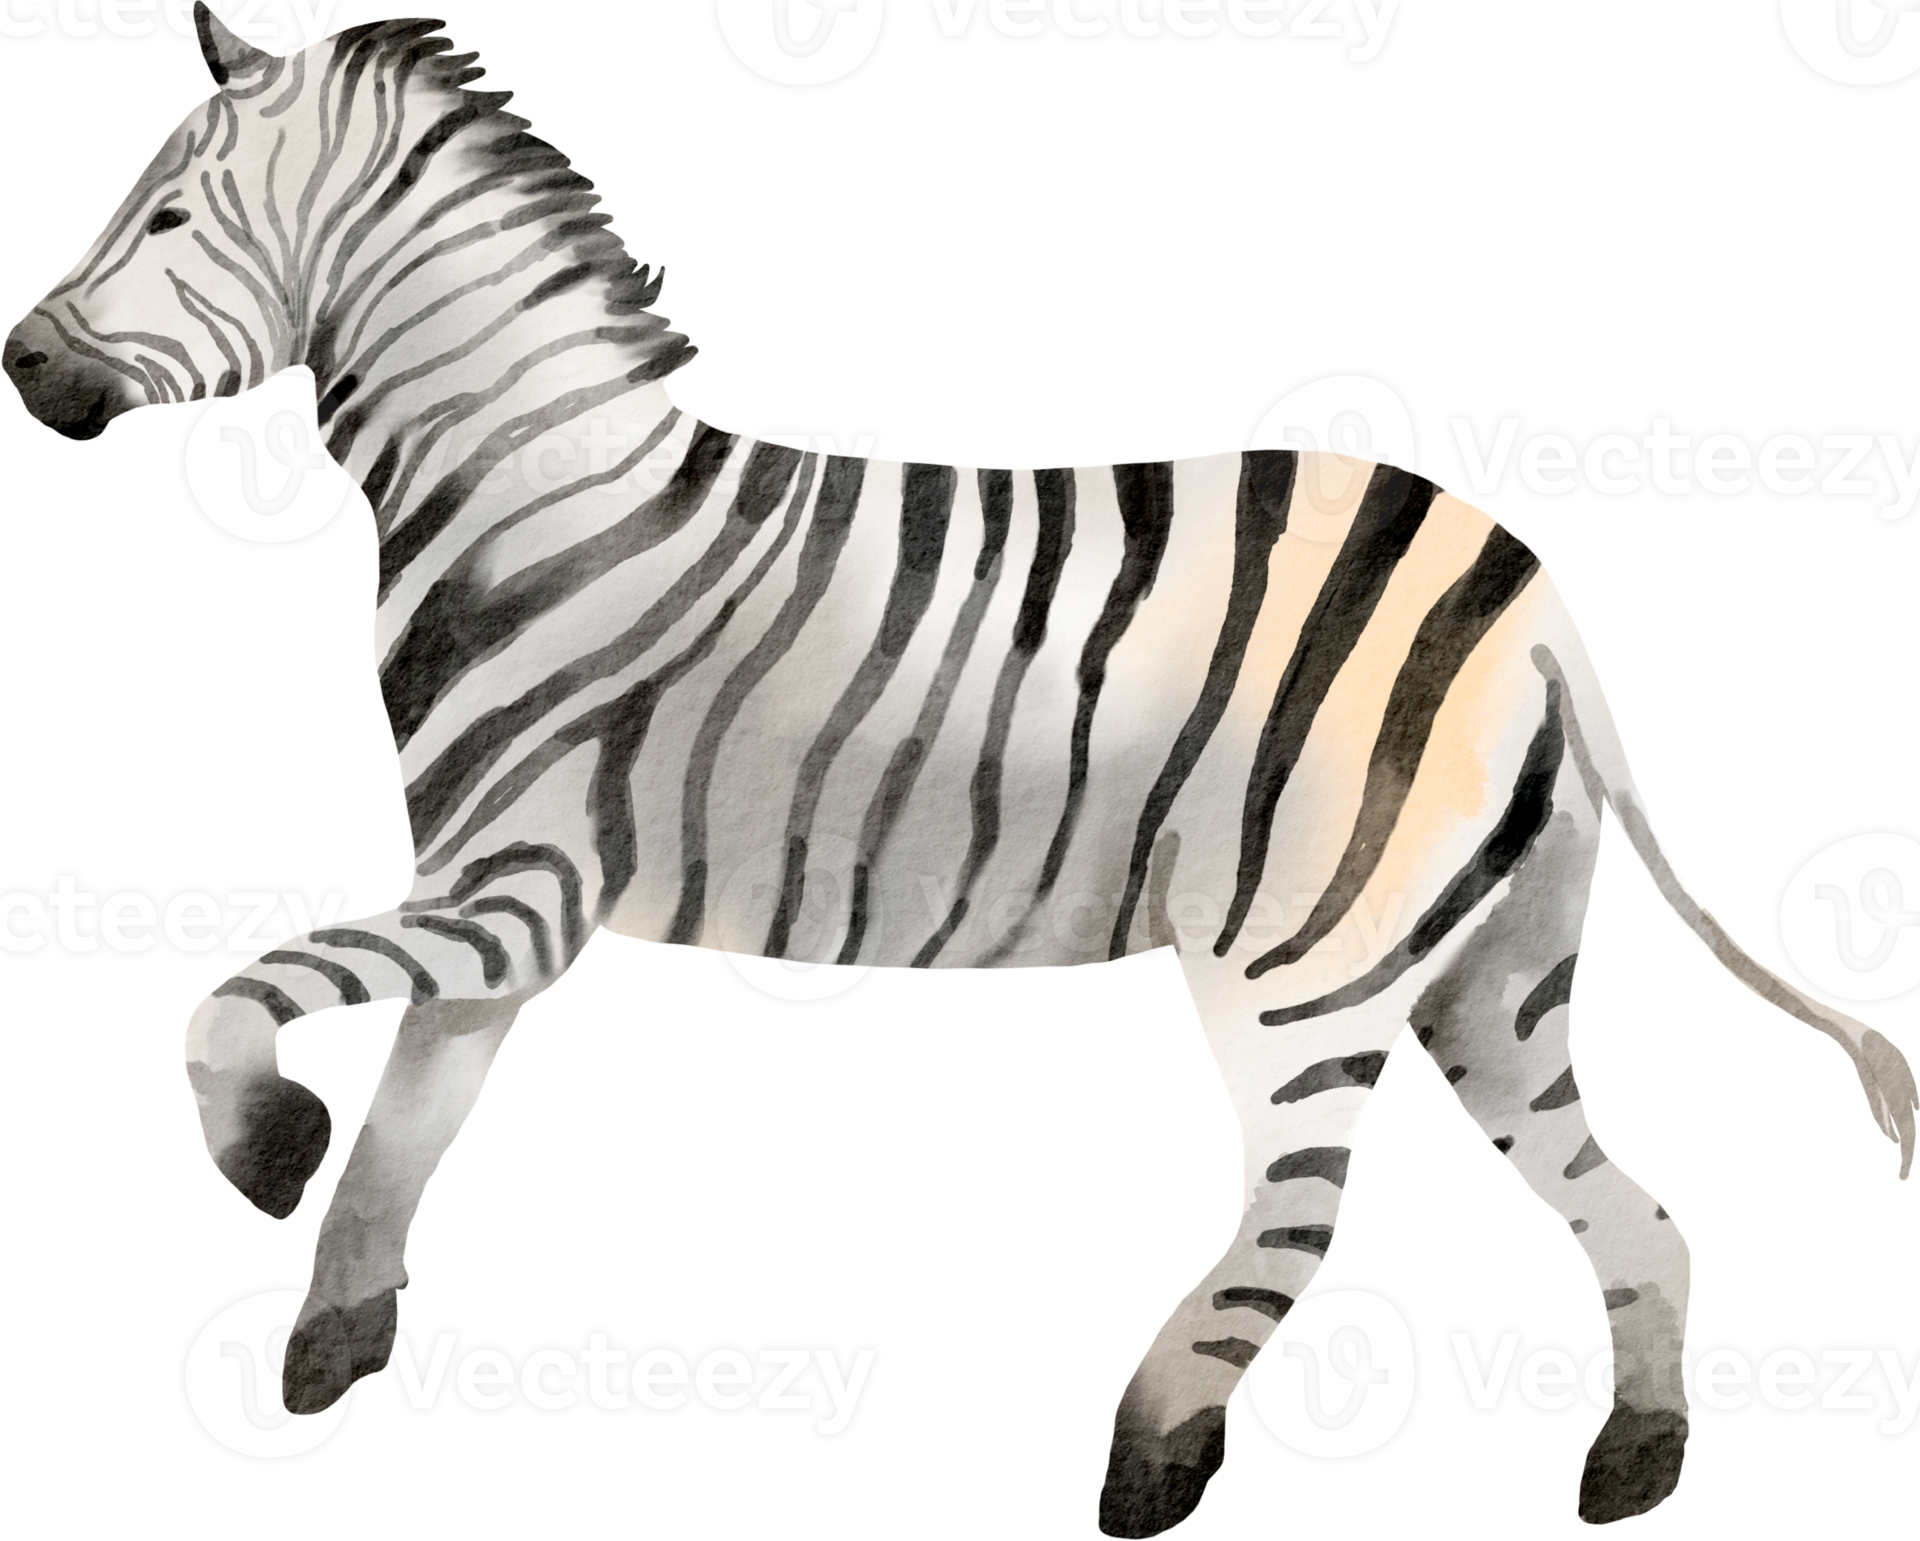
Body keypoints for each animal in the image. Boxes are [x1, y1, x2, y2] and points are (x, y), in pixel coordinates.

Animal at [3, 8, 1911, 1532]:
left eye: (167, 215)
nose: (15, 364)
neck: (532, 507)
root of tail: (1530, 595)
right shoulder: (494, 925)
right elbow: (401, 1143)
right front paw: (326, 1353)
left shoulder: (519, 891)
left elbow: (228, 1006)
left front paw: (264, 1155)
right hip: (1488, 965)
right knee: (1636, 1220)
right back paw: (1630, 1476)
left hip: (1302, 952)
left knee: (1301, 1221)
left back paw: (1145, 1472)